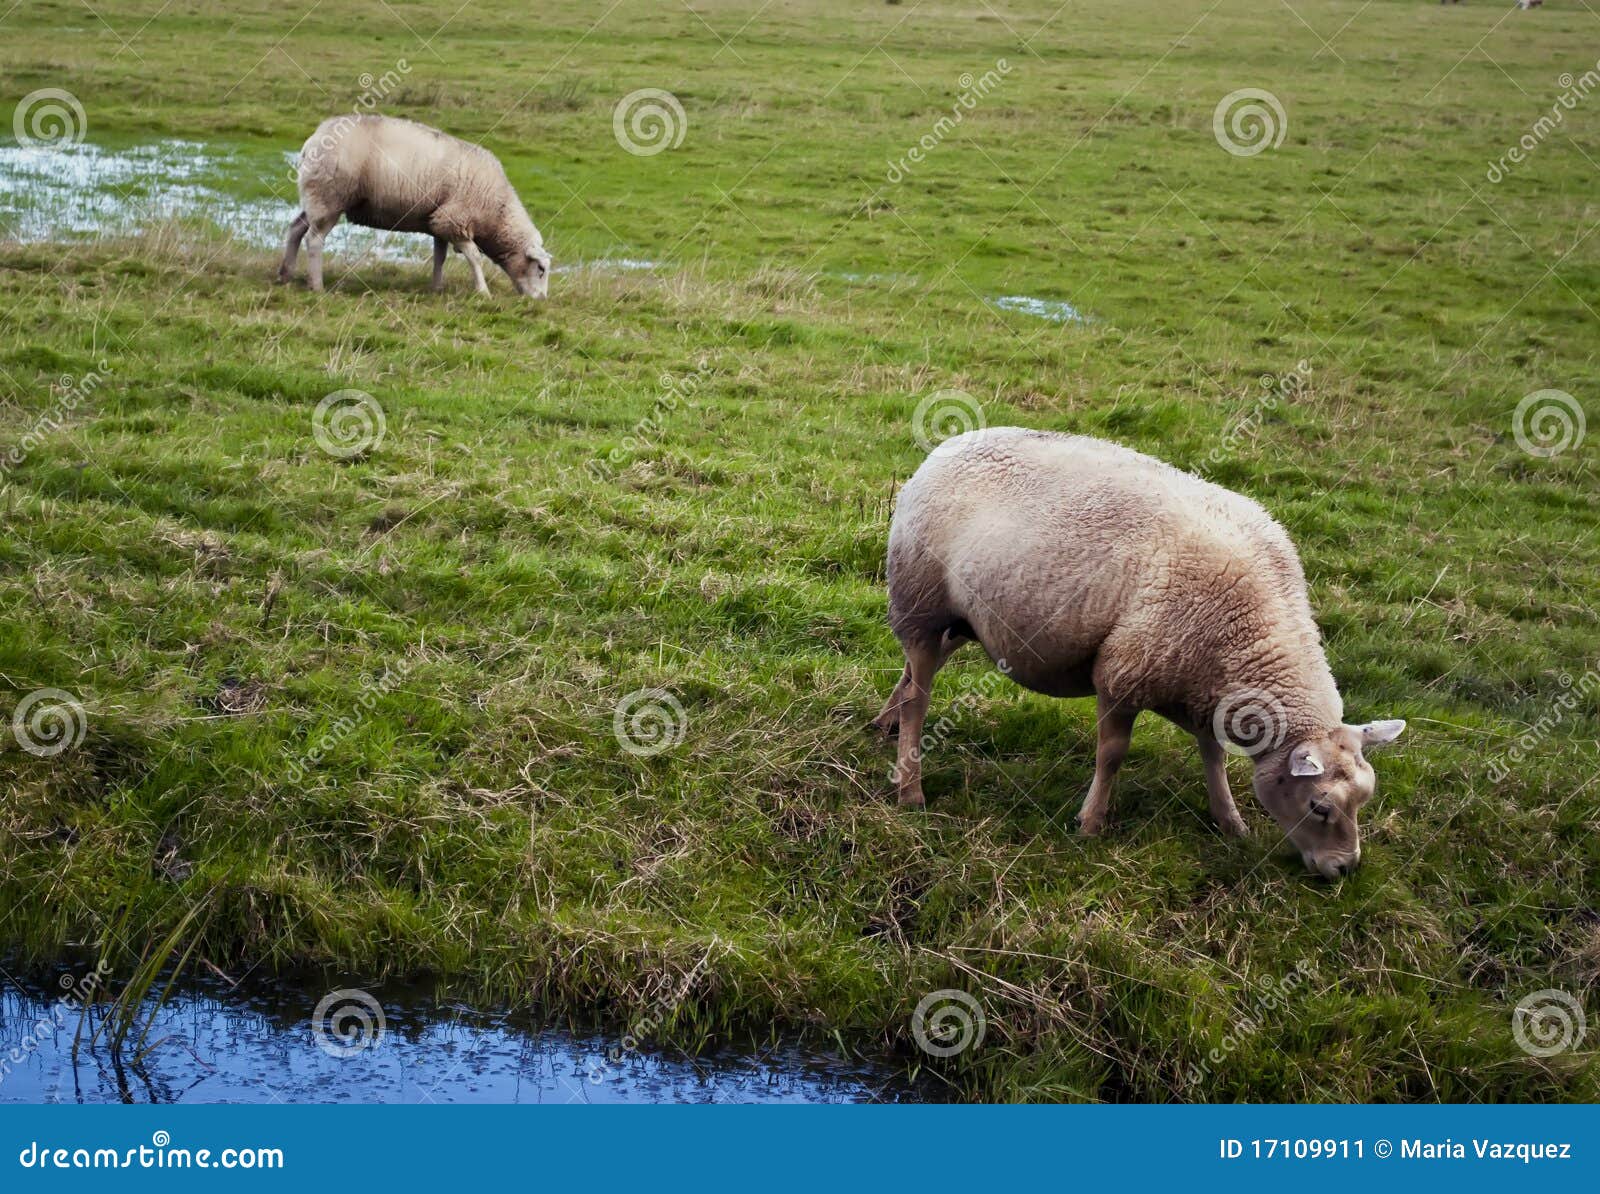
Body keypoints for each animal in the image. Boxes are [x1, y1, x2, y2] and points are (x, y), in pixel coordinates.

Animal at [278, 114, 550, 297]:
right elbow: (474, 257)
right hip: (328, 198)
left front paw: (437, 287)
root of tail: (313, 140)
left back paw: (285, 275)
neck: (498, 215)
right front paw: (482, 291)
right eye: (540, 269)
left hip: (316, 198)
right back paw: (317, 285)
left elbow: (440, 257)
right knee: (314, 240)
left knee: (296, 228)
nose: (540, 300)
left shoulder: (439, 221)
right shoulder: (454, 220)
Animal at [874, 427, 1406, 879]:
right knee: (922, 692)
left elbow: (1213, 756)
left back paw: (886, 720)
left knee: (921, 668)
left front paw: (1230, 821)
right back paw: (909, 785)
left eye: (1363, 800)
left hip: (963, 616)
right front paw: (1091, 824)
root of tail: (952, 443)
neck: (1252, 635)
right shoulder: (1124, 673)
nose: (1345, 869)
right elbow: (1111, 755)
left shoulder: (1202, 688)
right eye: (1320, 806)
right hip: (921, 599)